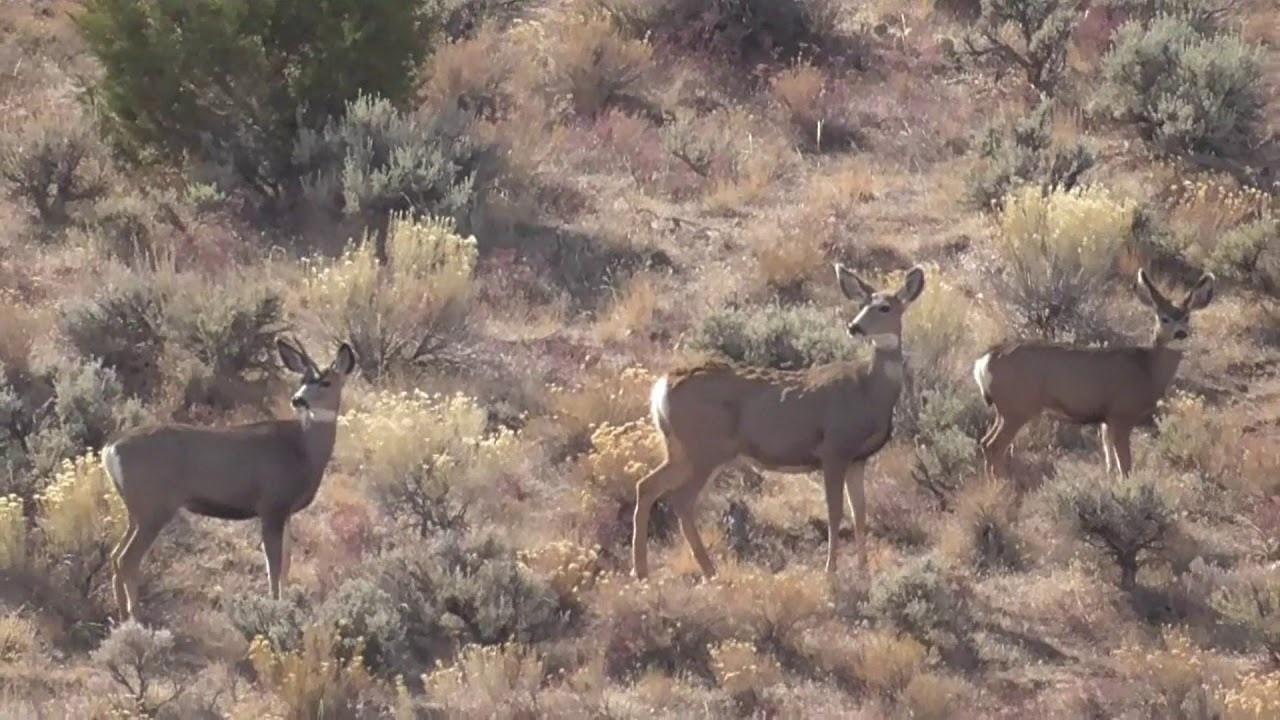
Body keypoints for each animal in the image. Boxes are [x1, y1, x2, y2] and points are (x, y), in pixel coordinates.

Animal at [102, 338, 357, 621]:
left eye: (326, 382)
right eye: (302, 379)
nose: (298, 399)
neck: (302, 450)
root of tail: (110, 449)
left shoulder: (286, 510)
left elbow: (287, 561)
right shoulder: (271, 505)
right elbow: (273, 564)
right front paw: (275, 608)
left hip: (135, 509)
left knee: (114, 555)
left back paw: (122, 617)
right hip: (154, 506)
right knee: (126, 558)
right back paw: (136, 617)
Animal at [632, 263, 926, 581]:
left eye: (884, 307)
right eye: (862, 305)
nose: (854, 327)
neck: (868, 390)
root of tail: (661, 386)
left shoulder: (858, 458)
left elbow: (860, 512)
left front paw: (864, 571)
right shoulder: (833, 449)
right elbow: (835, 511)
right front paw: (830, 570)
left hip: (680, 449)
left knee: (646, 486)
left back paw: (642, 571)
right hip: (705, 448)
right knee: (682, 500)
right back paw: (710, 571)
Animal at [973, 268, 1215, 480]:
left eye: (1187, 317)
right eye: (1163, 318)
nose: (1181, 333)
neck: (1147, 370)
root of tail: (983, 362)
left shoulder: (1105, 419)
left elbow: (1109, 459)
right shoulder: (1121, 414)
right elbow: (1125, 465)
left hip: (1005, 409)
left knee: (985, 442)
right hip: (1018, 407)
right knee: (994, 446)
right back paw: (1001, 483)